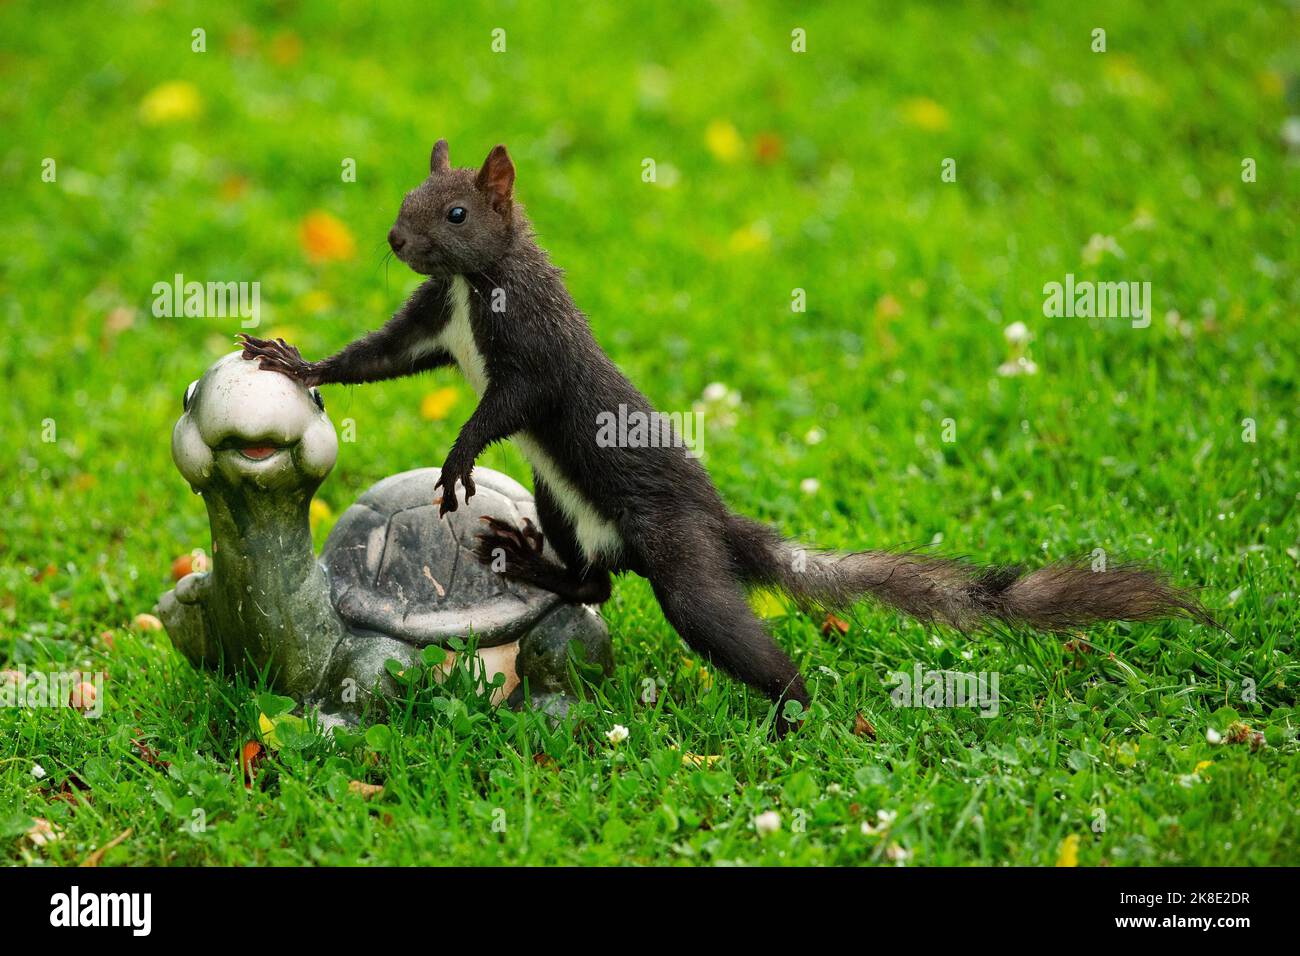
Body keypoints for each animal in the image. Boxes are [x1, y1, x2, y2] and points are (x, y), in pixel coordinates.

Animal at [240, 140, 1210, 734]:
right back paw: (525, 559)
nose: (396, 237)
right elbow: (375, 357)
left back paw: (792, 712)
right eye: (411, 198)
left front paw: (457, 458)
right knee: (592, 581)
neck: (478, 288)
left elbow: (501, 410)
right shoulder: (433, 326)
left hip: (681, 565)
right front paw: (292, 361)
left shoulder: (535, 359)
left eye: (455, 215)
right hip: (562, 497)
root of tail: (716, 523)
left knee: (702, 619)